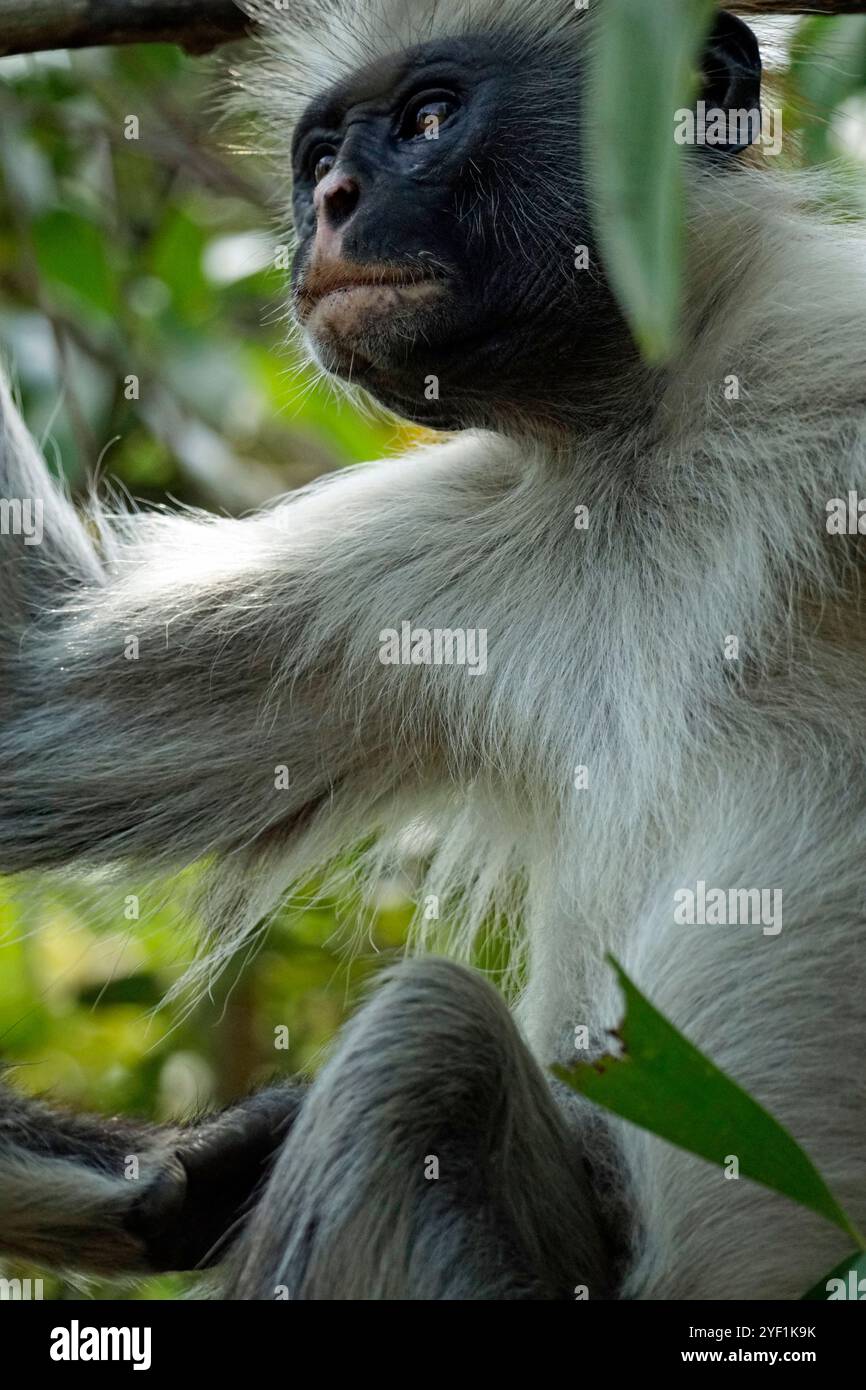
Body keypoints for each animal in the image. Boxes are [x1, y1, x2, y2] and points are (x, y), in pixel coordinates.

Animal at [1, 0, 866, 1300]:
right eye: (317, 156)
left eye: (425, 119)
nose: (331, 202)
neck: (641, 439)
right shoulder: (432, 555)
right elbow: (30, 691)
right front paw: (180, 1179)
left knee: (426, 1041)